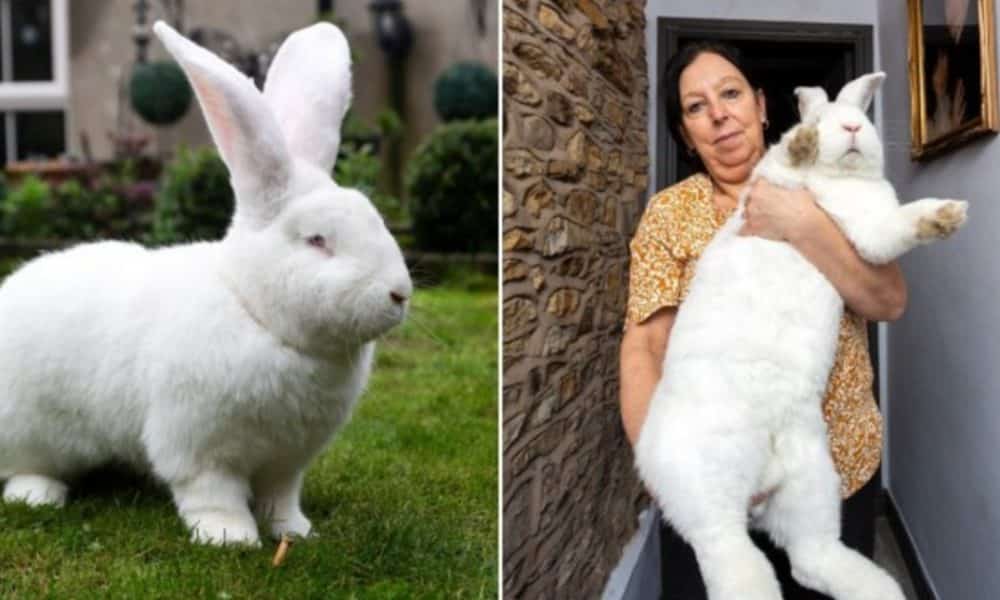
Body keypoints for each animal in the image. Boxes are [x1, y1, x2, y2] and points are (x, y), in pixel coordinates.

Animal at [0, 20, 412, 547]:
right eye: (318, 240)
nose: (399, 293)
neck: (254, 312)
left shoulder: (287, 461)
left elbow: (281, 498)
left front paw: (296, 533)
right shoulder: (199, 446)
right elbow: (213, 494)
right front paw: (229, 538)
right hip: (30, 430)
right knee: (27, 468)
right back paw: (39, 495)